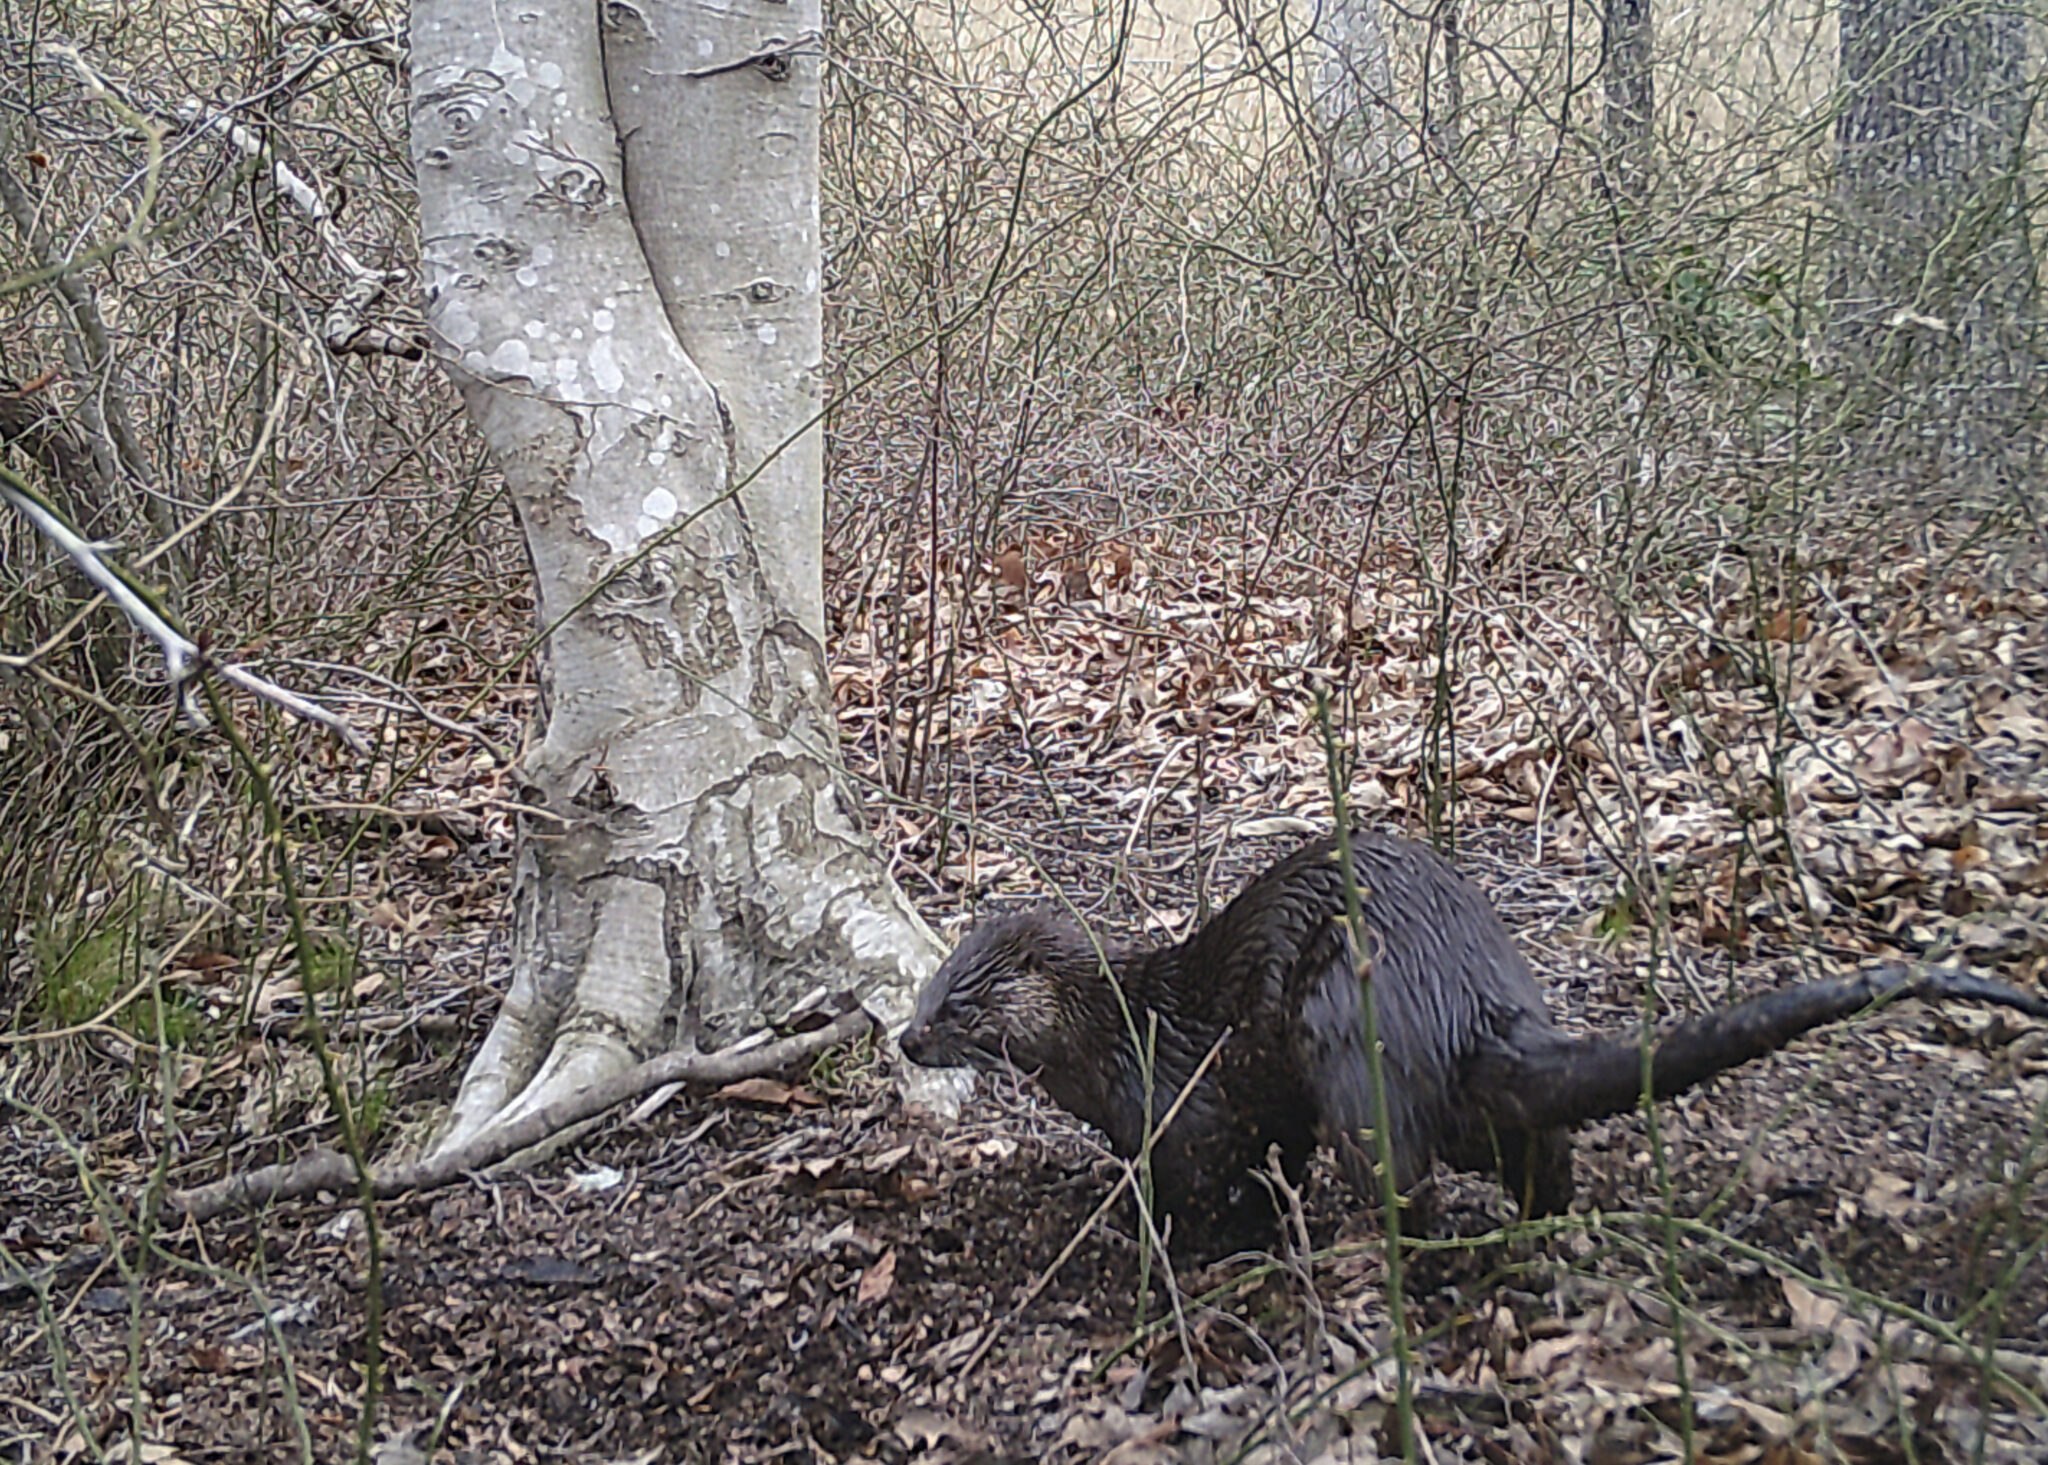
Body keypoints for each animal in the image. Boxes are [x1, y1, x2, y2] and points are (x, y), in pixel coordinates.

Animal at [900, 830, 2048, 1254]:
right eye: (919, 987)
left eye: (956, 1004)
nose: (906, 1039)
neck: (1120, 1035)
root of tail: (1469, 1006)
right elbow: (1272, 1160)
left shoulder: (1187, 1104)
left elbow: (1203, 1180)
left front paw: (1171, 1242)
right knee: (1538, 1151)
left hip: (1346, 1046)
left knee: (1405, 1182)